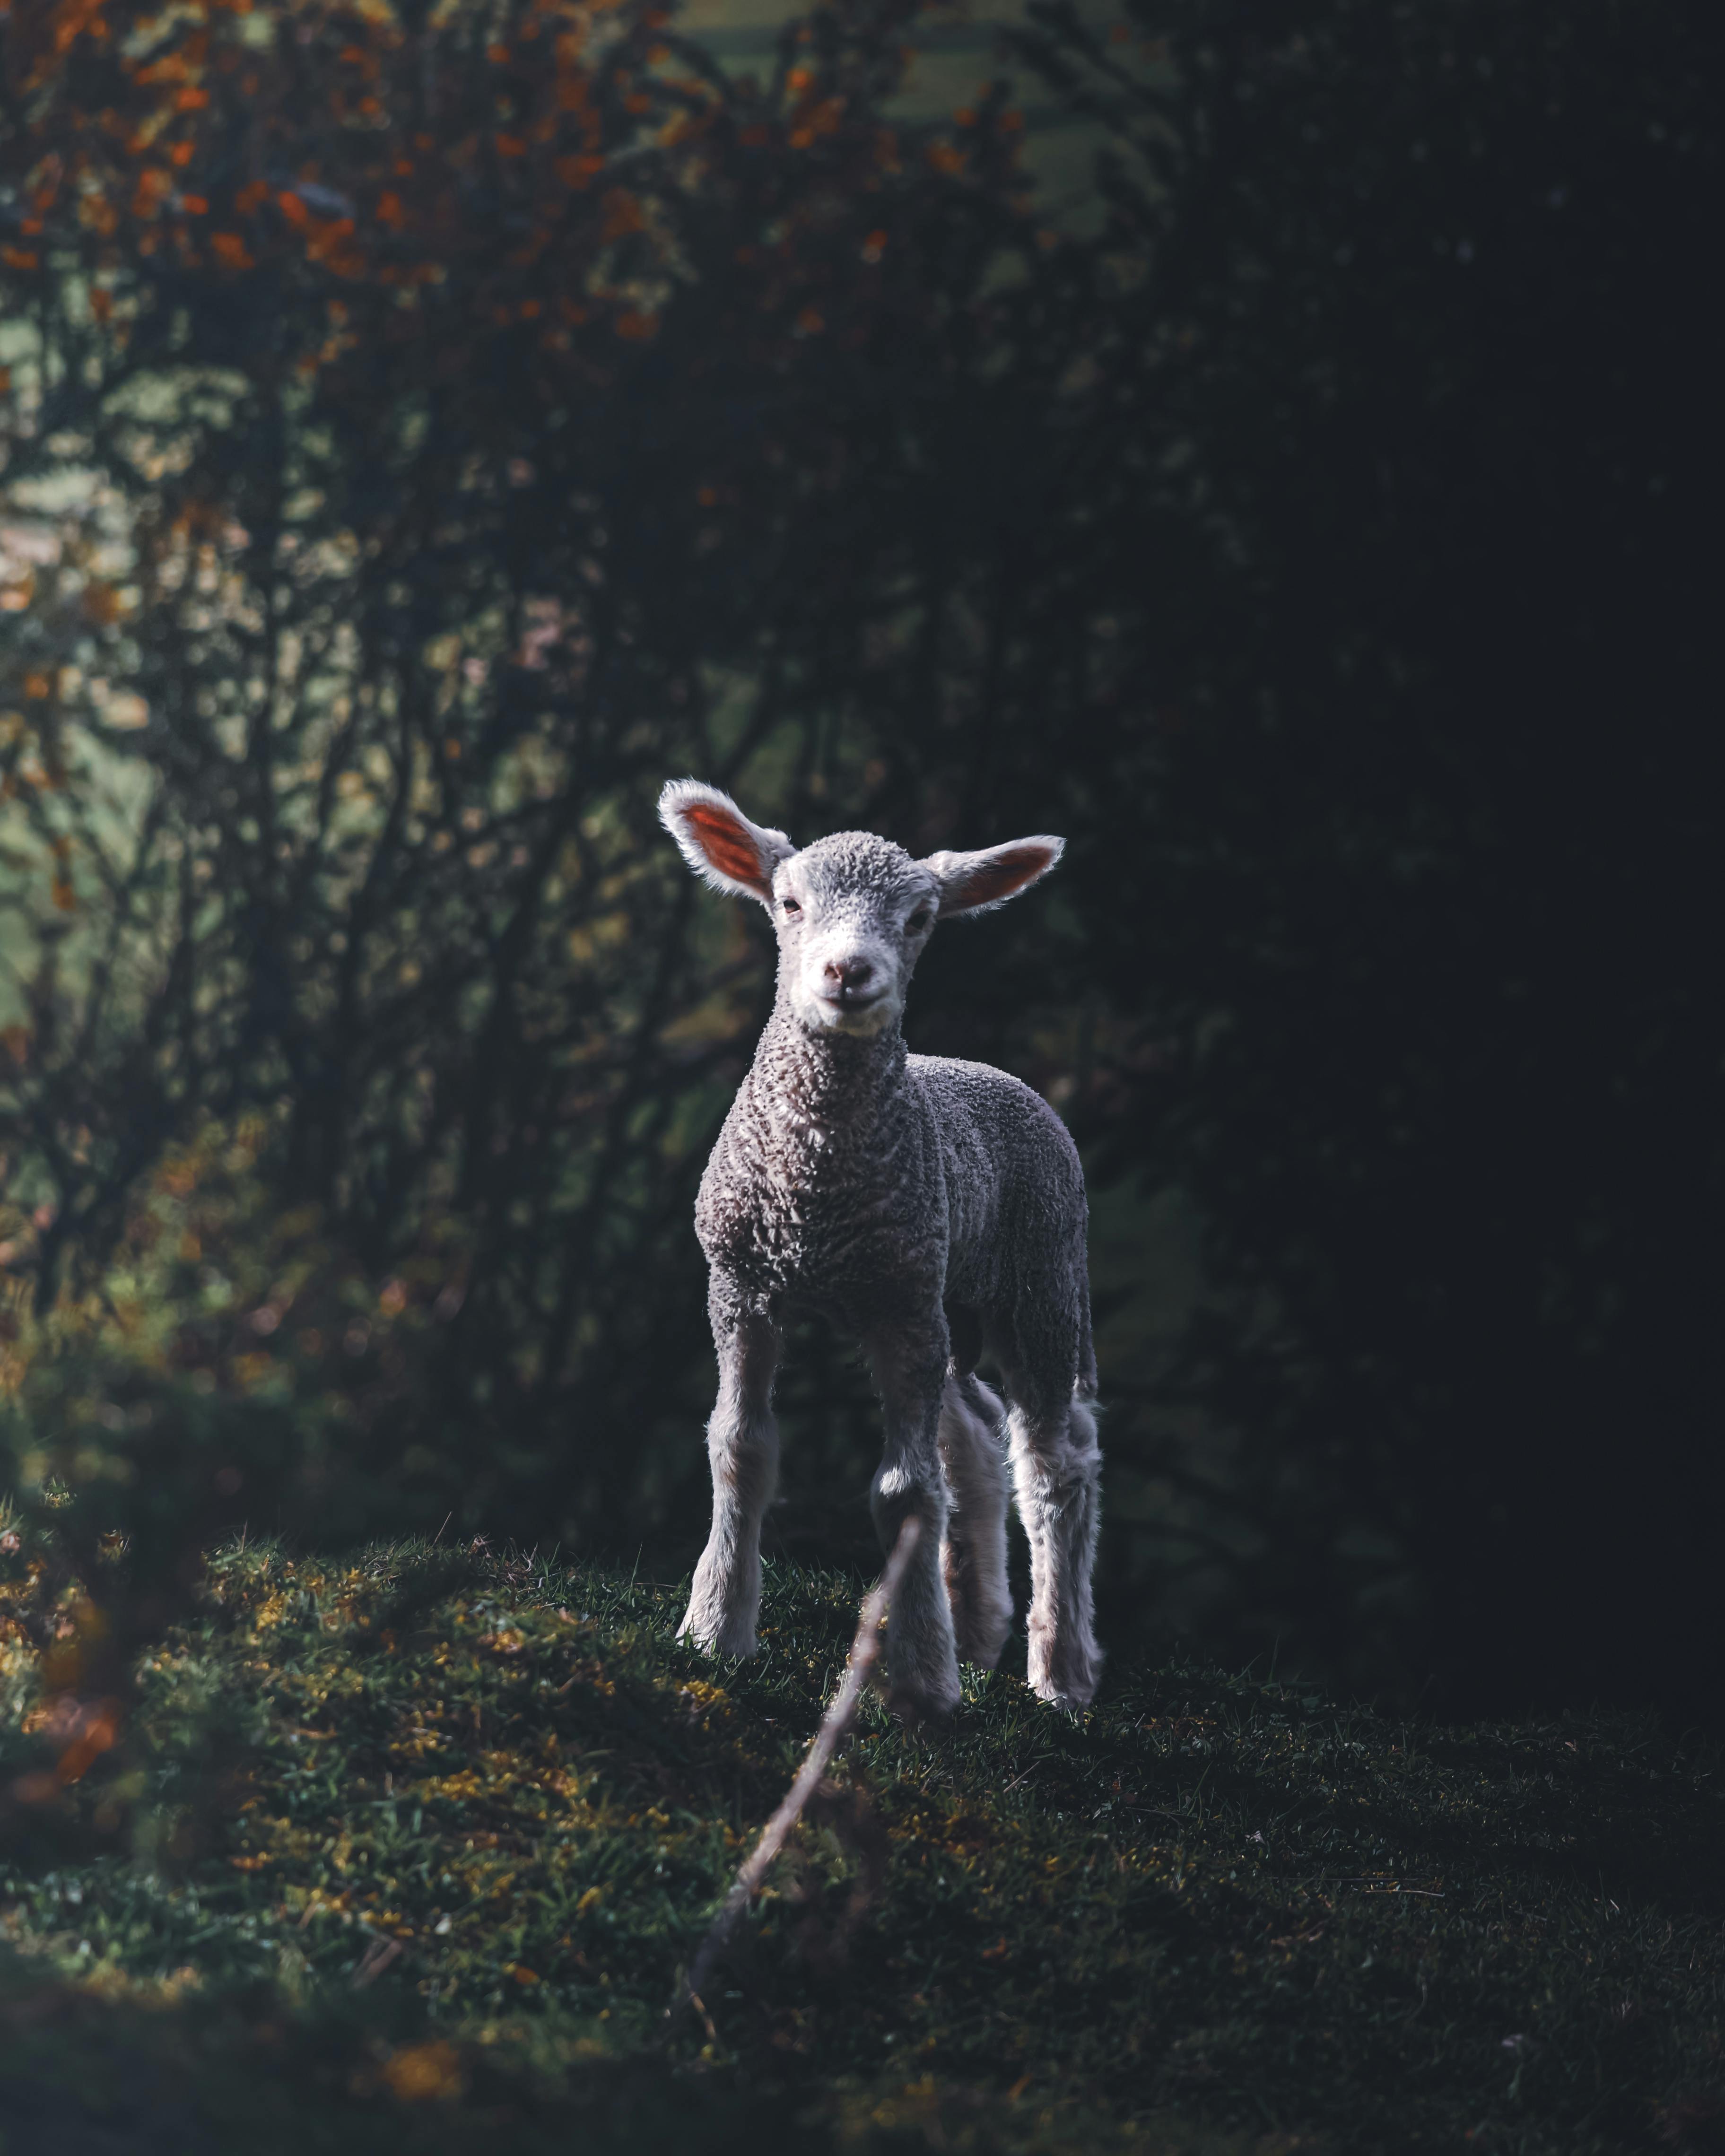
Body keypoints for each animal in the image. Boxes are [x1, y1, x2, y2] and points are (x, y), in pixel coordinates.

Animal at [659, 779, 1103, 1717]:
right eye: (789, 903)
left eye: (920, 918)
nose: (848, 972)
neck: (816, 1195)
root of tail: (990, 1071)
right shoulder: (740, 1285)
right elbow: (740, 1449)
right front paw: (714, 1631)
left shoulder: (898, 1301)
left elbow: (904, 1492)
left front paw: (922, 1683)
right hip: (949, 1300)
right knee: (972, 1438)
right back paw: (979, 1629)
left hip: (1041, 1277)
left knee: (1055, 1461)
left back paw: (1060, 1670)